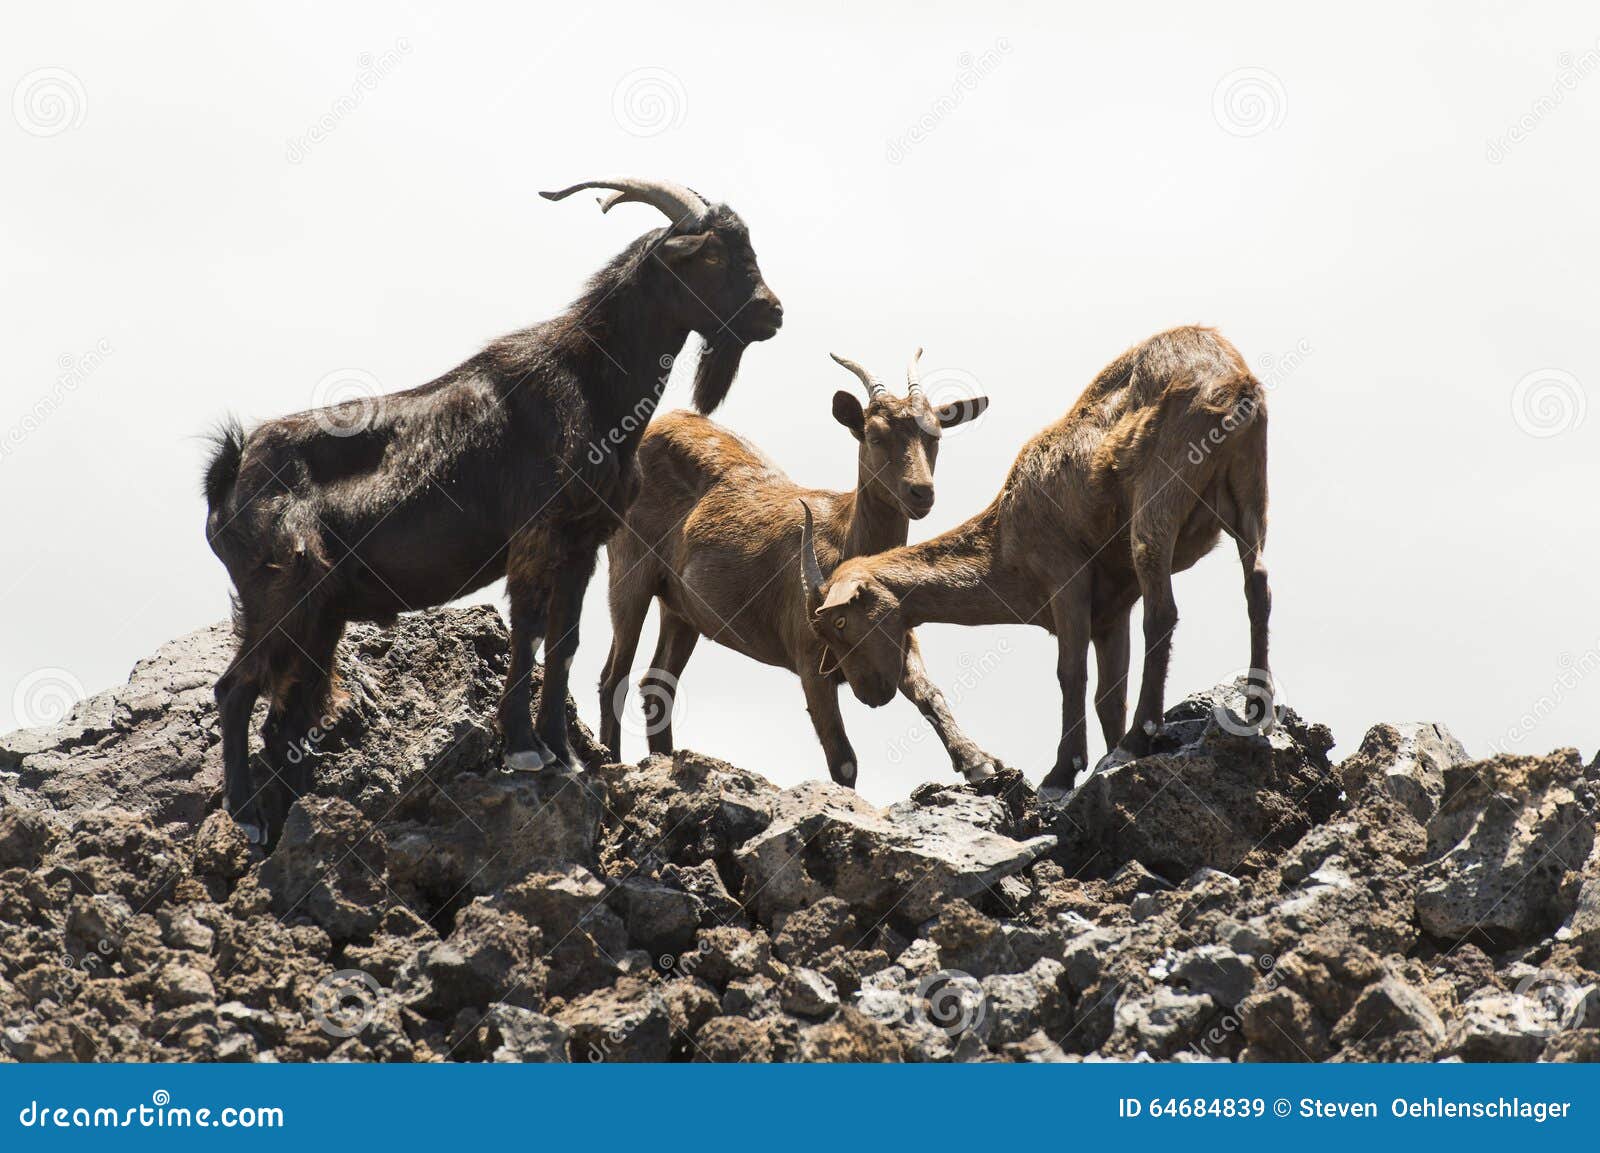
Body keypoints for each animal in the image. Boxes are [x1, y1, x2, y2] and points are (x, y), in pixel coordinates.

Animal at [204, 177, 782, 843]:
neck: (594, 383)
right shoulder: (537, 532)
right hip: (281, 592)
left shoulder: (583, 543)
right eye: (711, 254)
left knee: (286, 720)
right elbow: (528, 629)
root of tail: (230, 478)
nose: (772, 311)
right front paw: (525, 748)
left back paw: (294, 818)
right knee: (235, 690)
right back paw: (246, 817)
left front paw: (564, 752)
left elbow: (565, 639)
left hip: (320, 616)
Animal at [599, 350, 994, 787]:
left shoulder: (897, 640)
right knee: (613, 675)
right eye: (874, 436)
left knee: (657, 684)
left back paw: (665, 761)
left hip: (681, 608)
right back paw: (608, 762)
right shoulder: (809, 657)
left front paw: (977, 761)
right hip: (629, 569)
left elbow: (929, 692)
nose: (920, 492)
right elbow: (842, 759)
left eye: (935, 435)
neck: (844, 538)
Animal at [799, 326, 1273, 793]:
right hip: (1249, 493)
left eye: (839, 622)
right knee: (1257, 585)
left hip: (1159, 496)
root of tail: (1230, 380)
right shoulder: (1112, 610)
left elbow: (1070, 671)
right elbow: (1109, 694)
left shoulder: (1066, 575)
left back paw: (1139, 738)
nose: (869, 693)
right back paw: (1256, 708)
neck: (1006, 538)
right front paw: (1100, 756)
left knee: (1163, 611)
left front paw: (1063, 772)